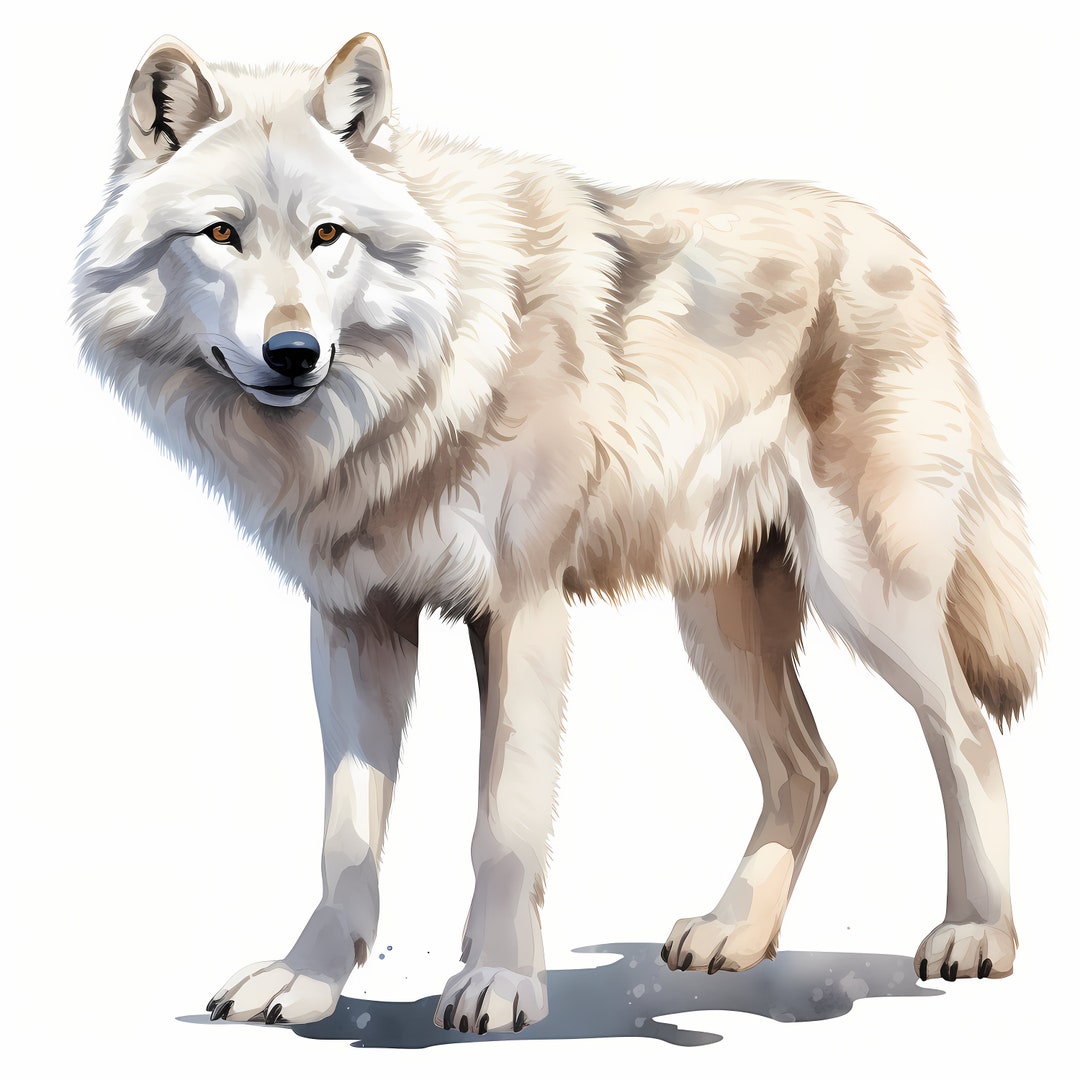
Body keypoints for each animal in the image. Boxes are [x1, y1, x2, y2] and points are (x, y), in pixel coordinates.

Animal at [73, 33, 1045, 1033]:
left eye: (328, 237)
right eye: (221, 235)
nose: (294, 352)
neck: (435, 373)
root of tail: (899, 245)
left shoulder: (522, 611)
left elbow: (505, 822)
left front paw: (499, 983)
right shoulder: (354, 622)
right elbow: (345, 837)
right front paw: (308, 981)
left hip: (868, 595)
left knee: (968, 734)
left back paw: (978, 935)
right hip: (718, 633)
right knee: (809, 768)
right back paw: (734, 936)